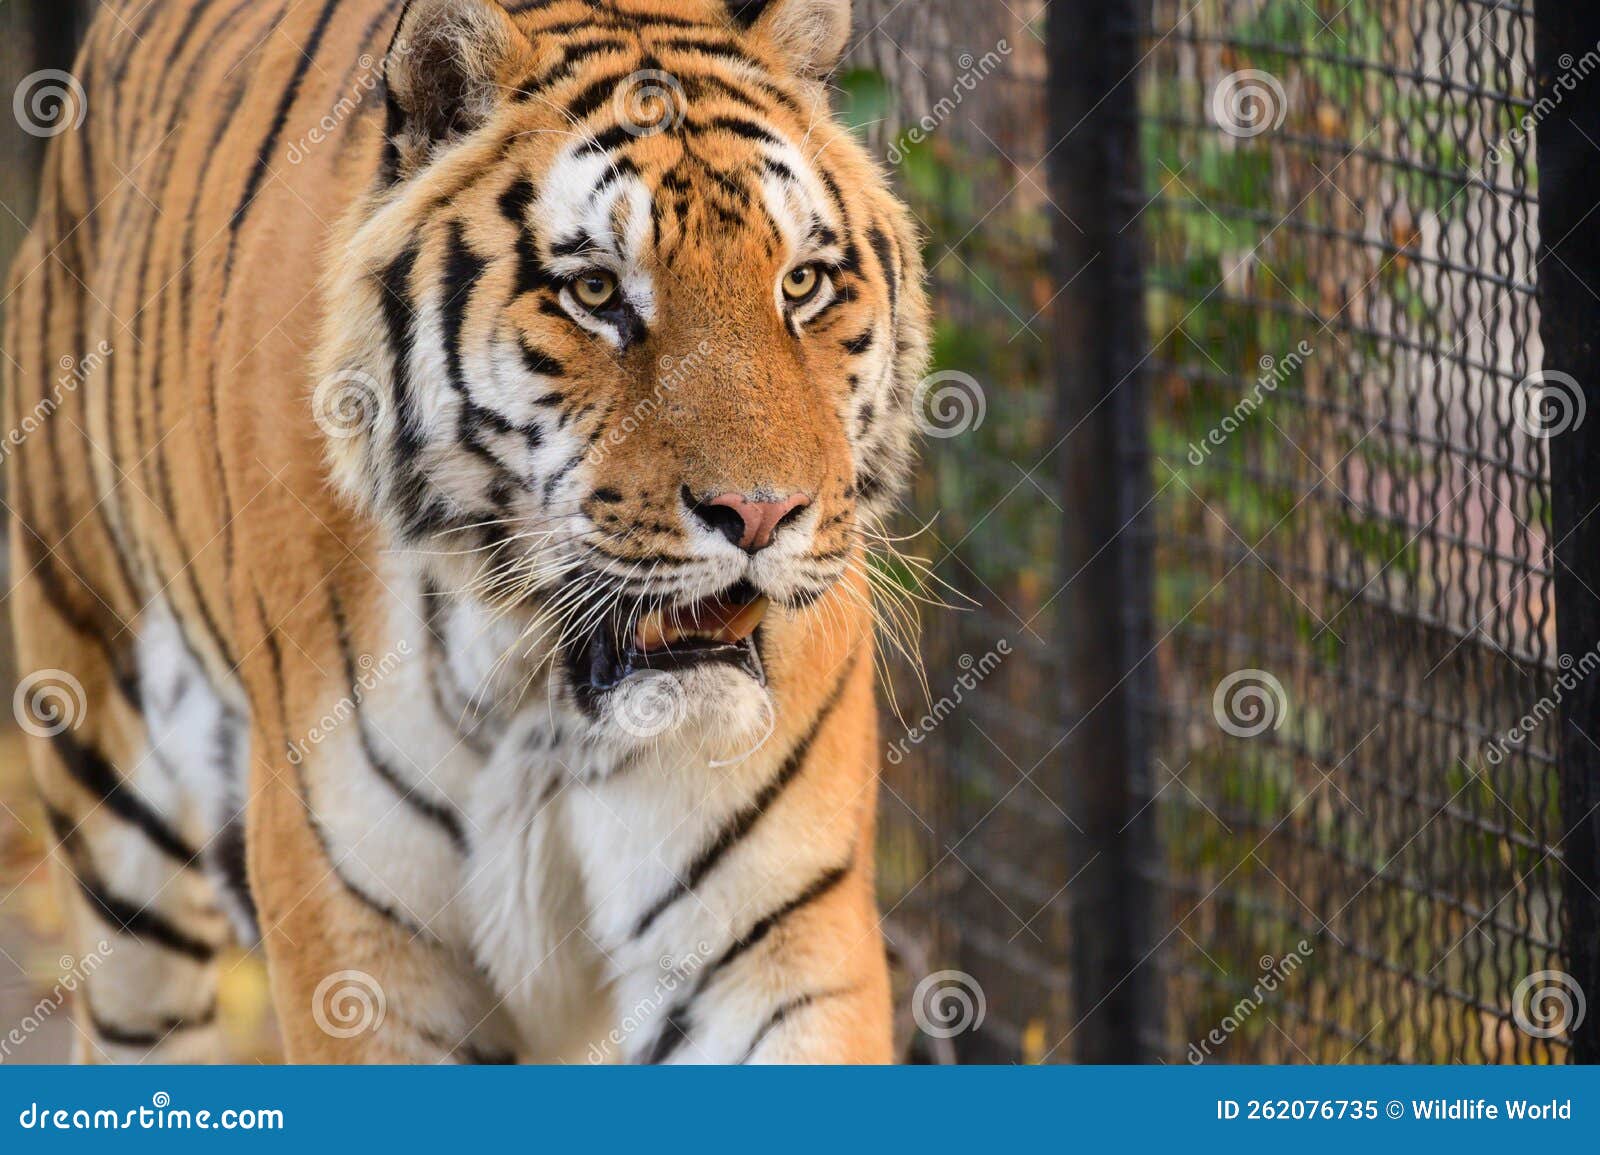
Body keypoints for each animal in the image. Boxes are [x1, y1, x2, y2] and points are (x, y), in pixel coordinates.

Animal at [3, 0, 929, 1064]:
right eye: (597, 294)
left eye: (803, 283)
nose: (762, 513)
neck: (547, 689)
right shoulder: (361, 953)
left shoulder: (775, 939)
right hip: (108, 815)